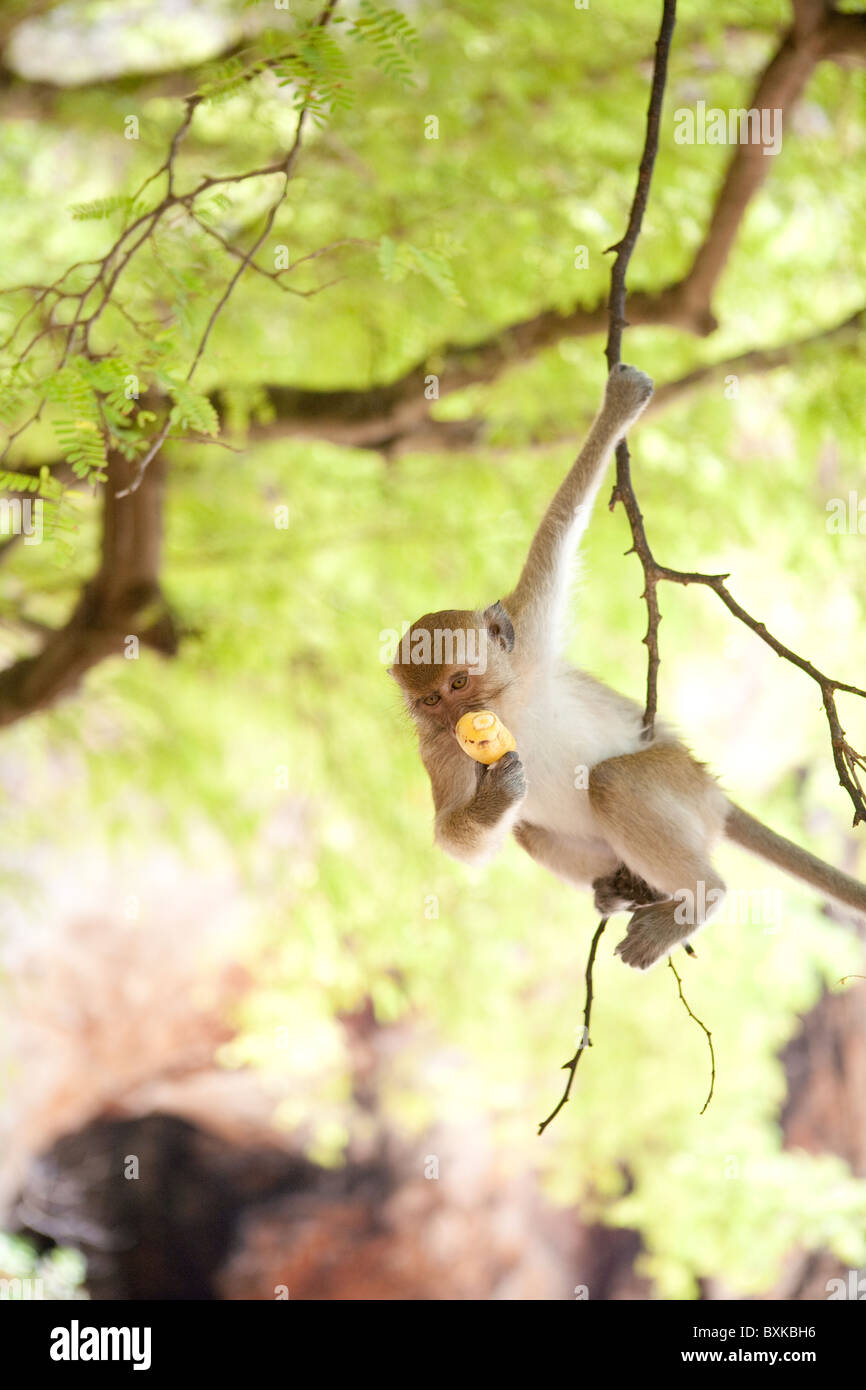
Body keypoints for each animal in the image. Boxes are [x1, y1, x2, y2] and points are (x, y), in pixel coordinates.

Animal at [389, 363, 866, 971]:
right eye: (431, 701)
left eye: (458, 682)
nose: (458, 717)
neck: (510, 703)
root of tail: (714, 795)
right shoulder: (440, 752)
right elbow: (455, 835)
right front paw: (496, 796)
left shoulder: (529, 637)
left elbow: (562, 521)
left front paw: (619, 405)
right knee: (529, 831)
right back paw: (620, 891)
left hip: (678, 780)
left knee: (612, 781)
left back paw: (702, 897)